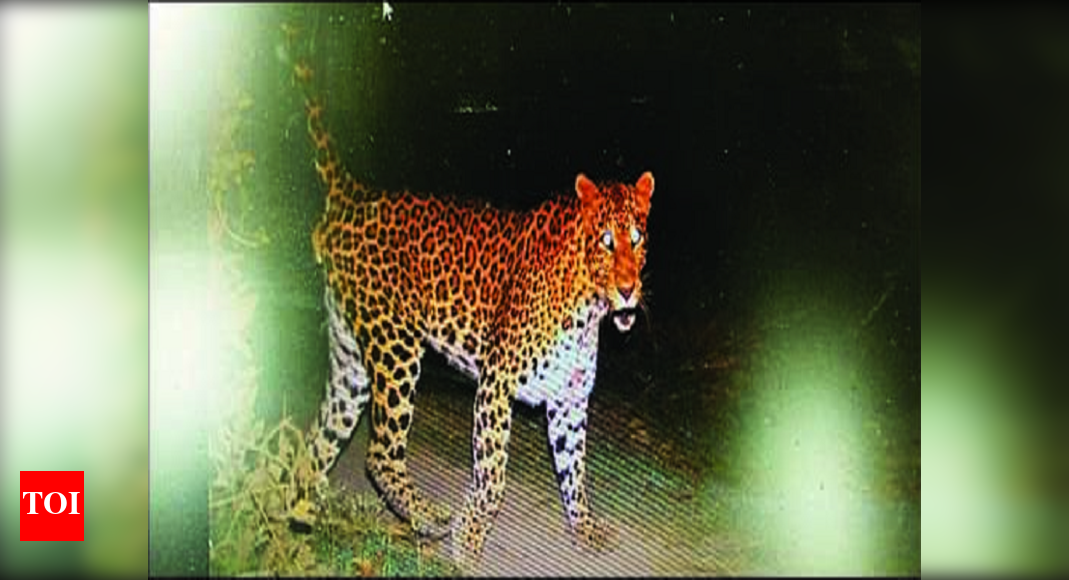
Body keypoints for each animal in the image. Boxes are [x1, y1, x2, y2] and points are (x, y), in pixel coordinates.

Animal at [290, 57, 654, 566]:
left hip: (352, 365)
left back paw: (290, 518)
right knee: (380, 452)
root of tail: (354, 193)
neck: (587, 310)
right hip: (396, 348)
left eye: (636, 240)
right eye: (605, 242)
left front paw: (585, 528)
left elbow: (575, 471)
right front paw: (468, 540)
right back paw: (428, 517)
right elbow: (492, 477)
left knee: (319, 442)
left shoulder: (568, 400)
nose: (627, 290)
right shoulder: (496, 385)